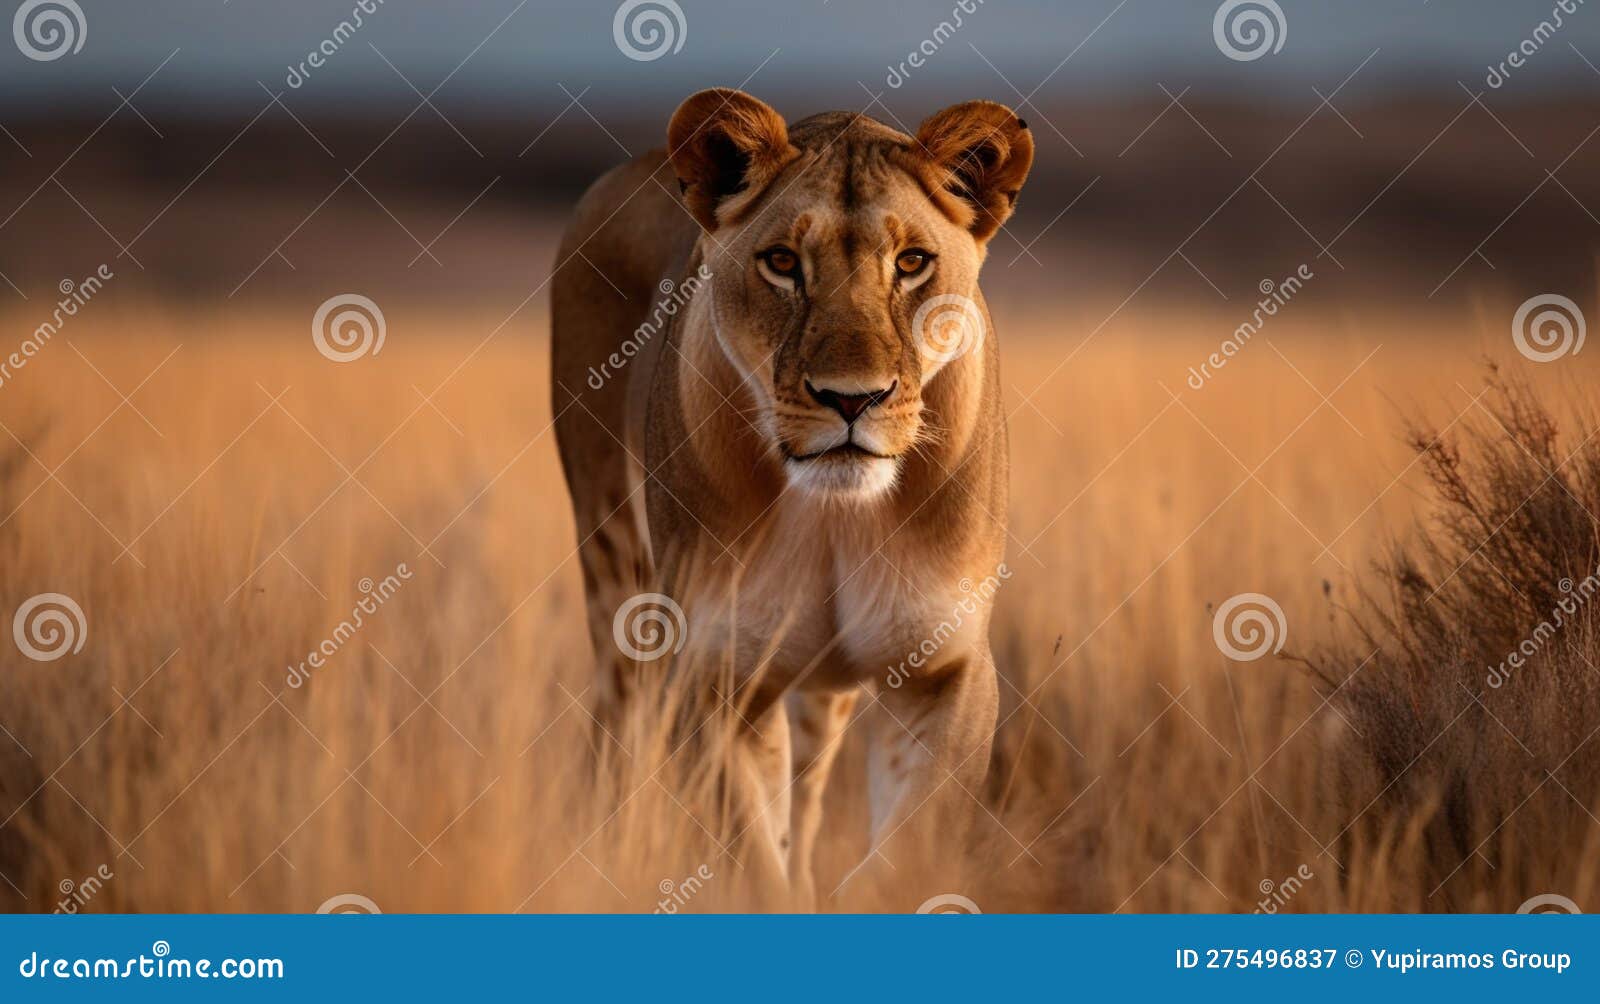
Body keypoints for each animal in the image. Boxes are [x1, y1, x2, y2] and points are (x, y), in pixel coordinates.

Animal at [551, 88, 1032, 906]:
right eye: (782, 263)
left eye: (912, 263)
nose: (853, 398)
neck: (834, 514)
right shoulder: (714, 673)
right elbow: (753, 858)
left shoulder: (946, 667)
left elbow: (903, 849)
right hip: (616, 574)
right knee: (615, 738)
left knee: (804, 802)